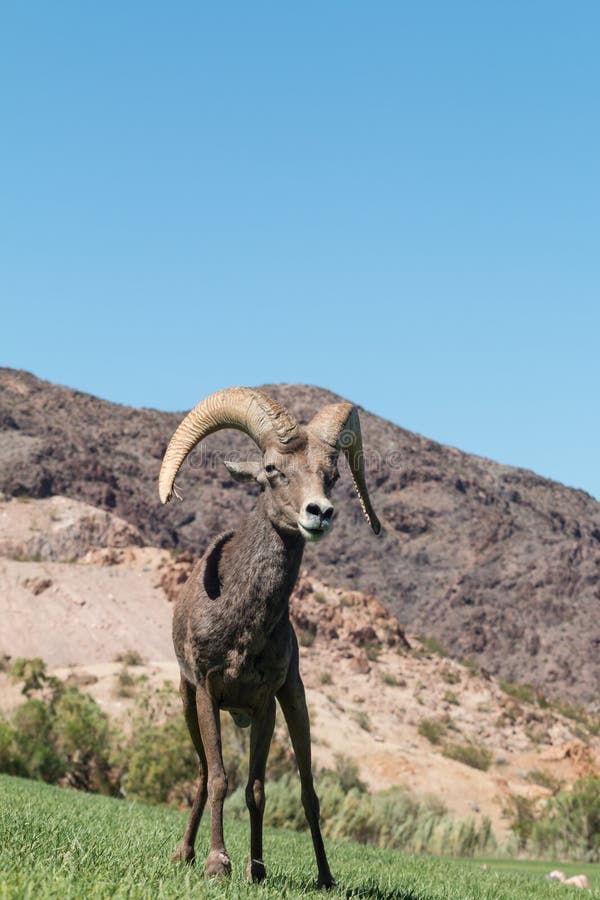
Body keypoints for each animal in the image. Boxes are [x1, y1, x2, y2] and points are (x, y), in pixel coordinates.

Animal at [158, 387, 380, 887]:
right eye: (274, 470)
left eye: (331, 476)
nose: (320, 514)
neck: (244, 624)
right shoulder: (206, 692)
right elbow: (220, 778)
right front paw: (217, 863)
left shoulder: (264, 705)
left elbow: (256, 790)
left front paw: (255, 870)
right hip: (188, 704)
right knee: (202, 773)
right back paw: (183, 853)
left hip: (294, 705)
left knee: (309, 794)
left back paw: (325, 878)